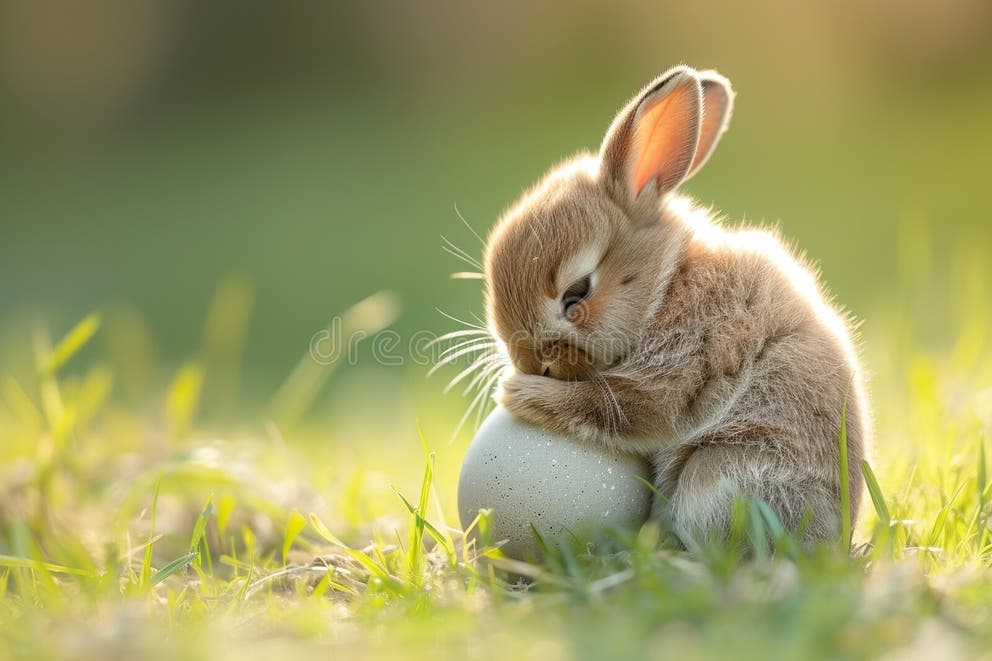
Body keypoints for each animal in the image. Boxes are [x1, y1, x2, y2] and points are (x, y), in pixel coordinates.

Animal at [480, 65, 869, 549]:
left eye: (577, 293)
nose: (528, 363)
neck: (665, 286)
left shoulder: (679, 365)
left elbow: (617, 406)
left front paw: (517, 393)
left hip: (716, 472)